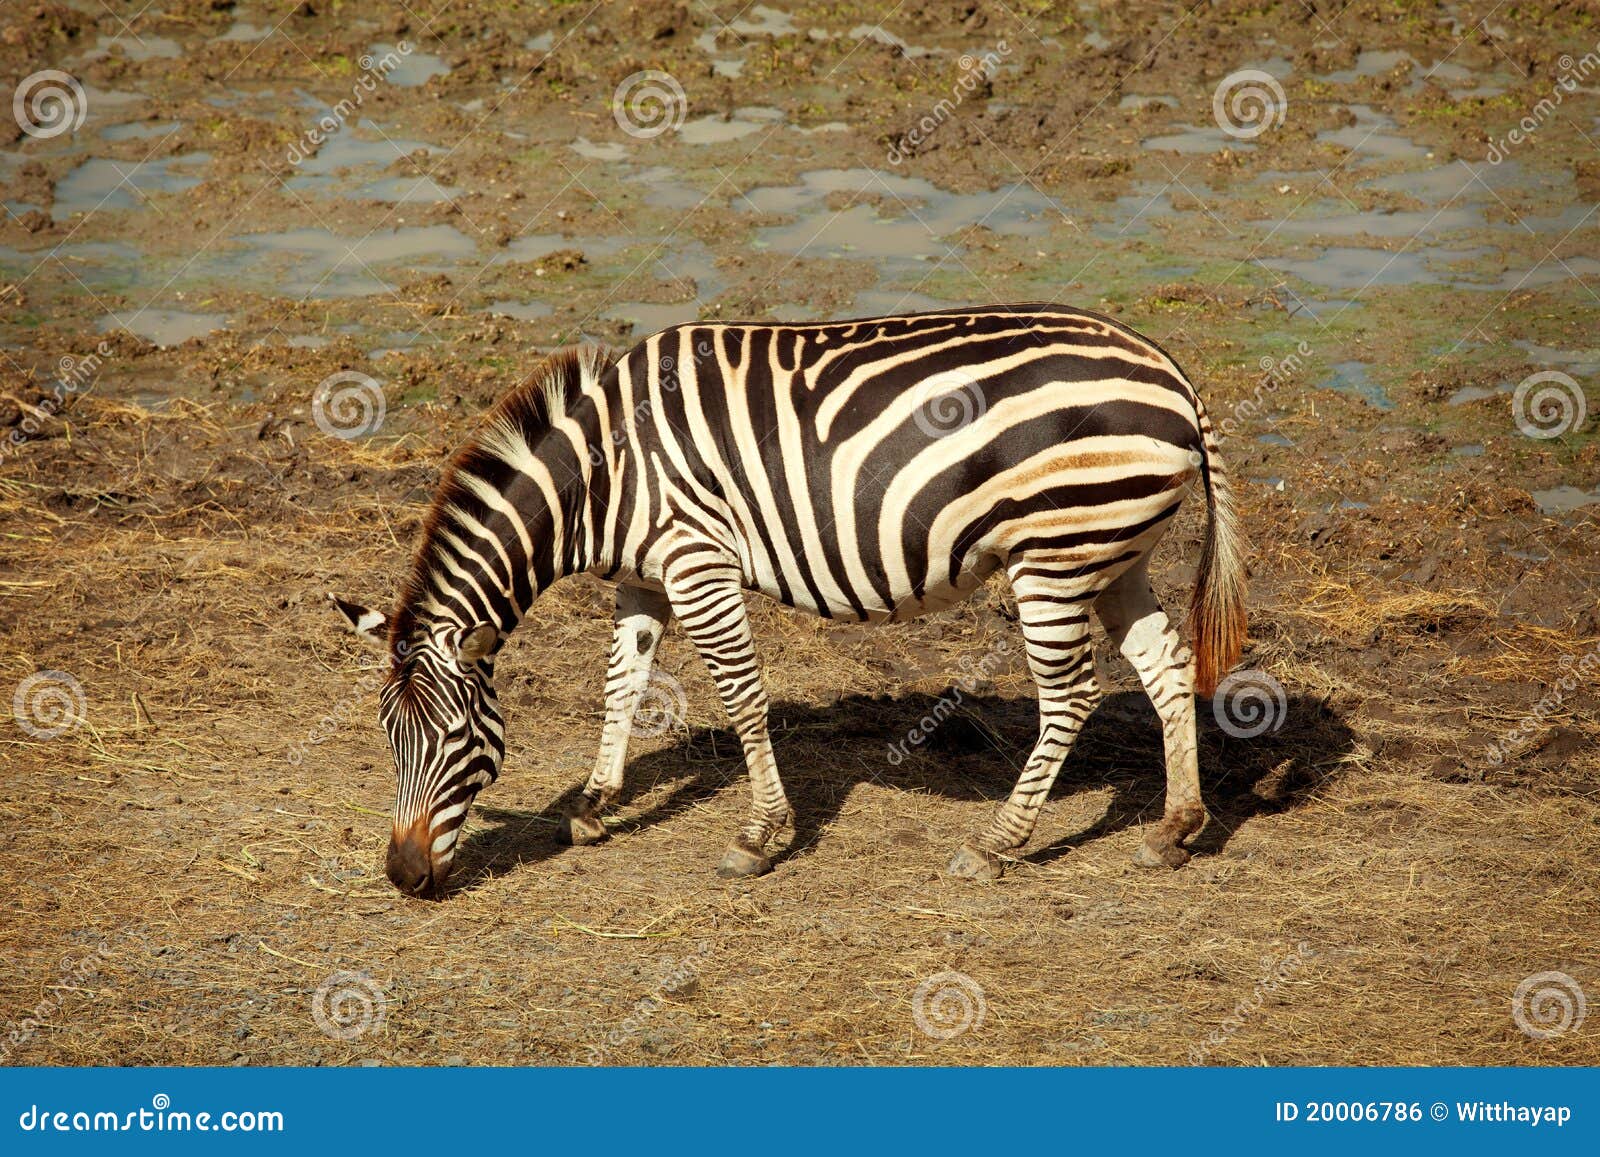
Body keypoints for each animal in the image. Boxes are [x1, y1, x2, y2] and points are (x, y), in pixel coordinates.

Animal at [332, 305, 1246, 896]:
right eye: (388, 738)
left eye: (453, 738)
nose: (404, 876)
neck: (601, 473)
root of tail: (1173, 374)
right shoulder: (644, 575)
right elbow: (622, 685)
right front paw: (594, 805)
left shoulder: (697, 559)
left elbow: (741, 695)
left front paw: (760, 835)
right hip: (1111, 550)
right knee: (1166, 666)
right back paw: (1175, 828)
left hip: (1053, 553)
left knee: (1072, 695)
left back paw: (995, 845)